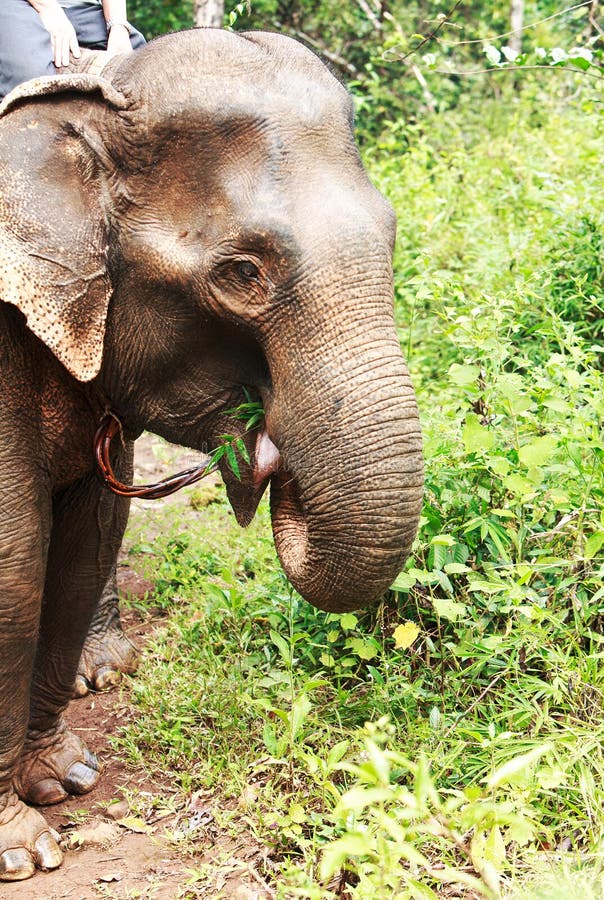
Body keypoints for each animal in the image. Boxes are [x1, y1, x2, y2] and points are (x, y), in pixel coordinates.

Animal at [0, 28, 423, 880]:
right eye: (242, 272)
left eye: (392, 234)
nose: (266, 450)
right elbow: (15, 566)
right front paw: (24, 852)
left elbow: (83, 544)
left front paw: (65, 779)